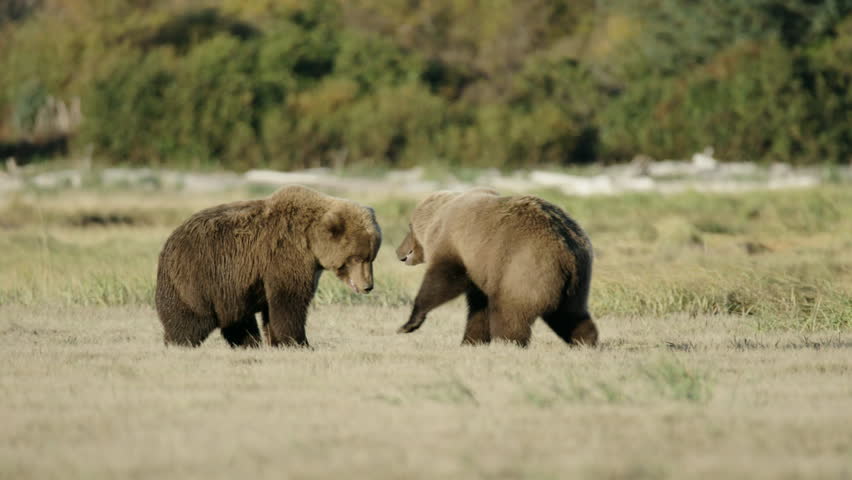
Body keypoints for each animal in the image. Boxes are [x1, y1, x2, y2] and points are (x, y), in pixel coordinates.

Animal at [155, 185, 381, 348]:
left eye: (371, 257)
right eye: (356, 258)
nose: (368, 286)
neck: (310, 242)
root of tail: (169, 241)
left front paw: (277, 341)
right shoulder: (286, 255)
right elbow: (289, 301)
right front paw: (299, 342)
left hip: (229, 287)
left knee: (237, 318)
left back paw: (248, 343)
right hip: (199, 275)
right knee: (192, 319)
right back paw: (178, 342)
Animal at [395, 188, 597, 347]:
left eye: (409, 227)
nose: (399, 252)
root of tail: (567, 253)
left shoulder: (459, 246)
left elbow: (443, 280)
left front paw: (408, 324)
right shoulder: (483, 268)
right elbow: (478, 305)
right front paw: (471, 341)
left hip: (524, 268)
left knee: (510, 313)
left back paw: (508, 342)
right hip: (574, 283)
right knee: (571, 315)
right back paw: (586, 341)